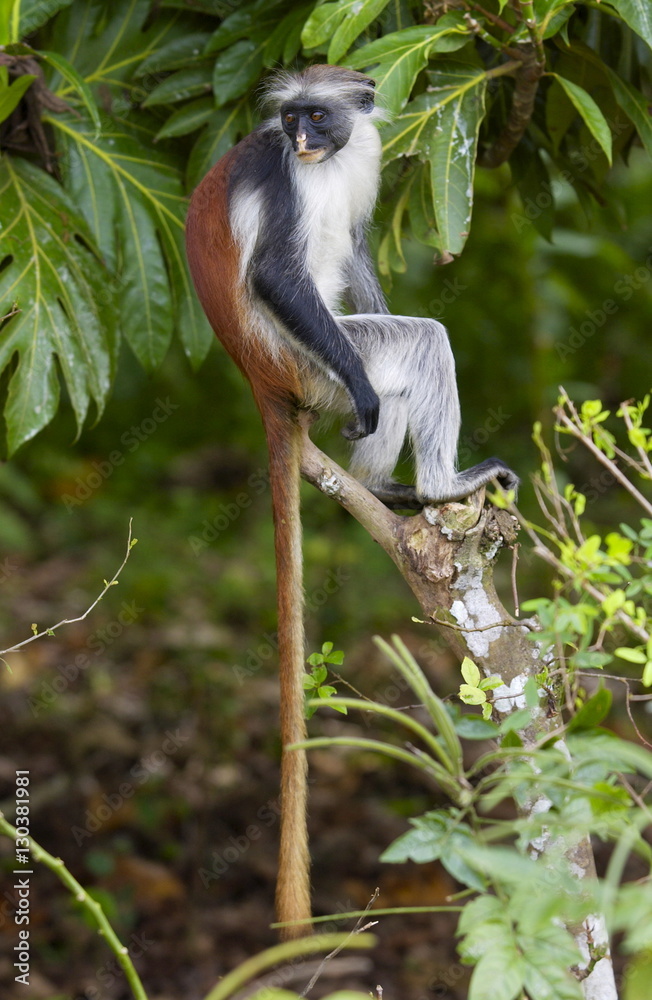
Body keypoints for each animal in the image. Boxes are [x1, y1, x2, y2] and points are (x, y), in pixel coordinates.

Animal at [185, 64, 518, 938]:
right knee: (416, 342)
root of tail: (263, 383)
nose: (301, 138)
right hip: (312, 359)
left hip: (317, 365)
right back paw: (438, 485)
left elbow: (362, 248)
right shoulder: (281, 182)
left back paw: (387, 488)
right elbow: (276, 273)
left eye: (319, 118)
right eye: (291, 120)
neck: (321, 165)